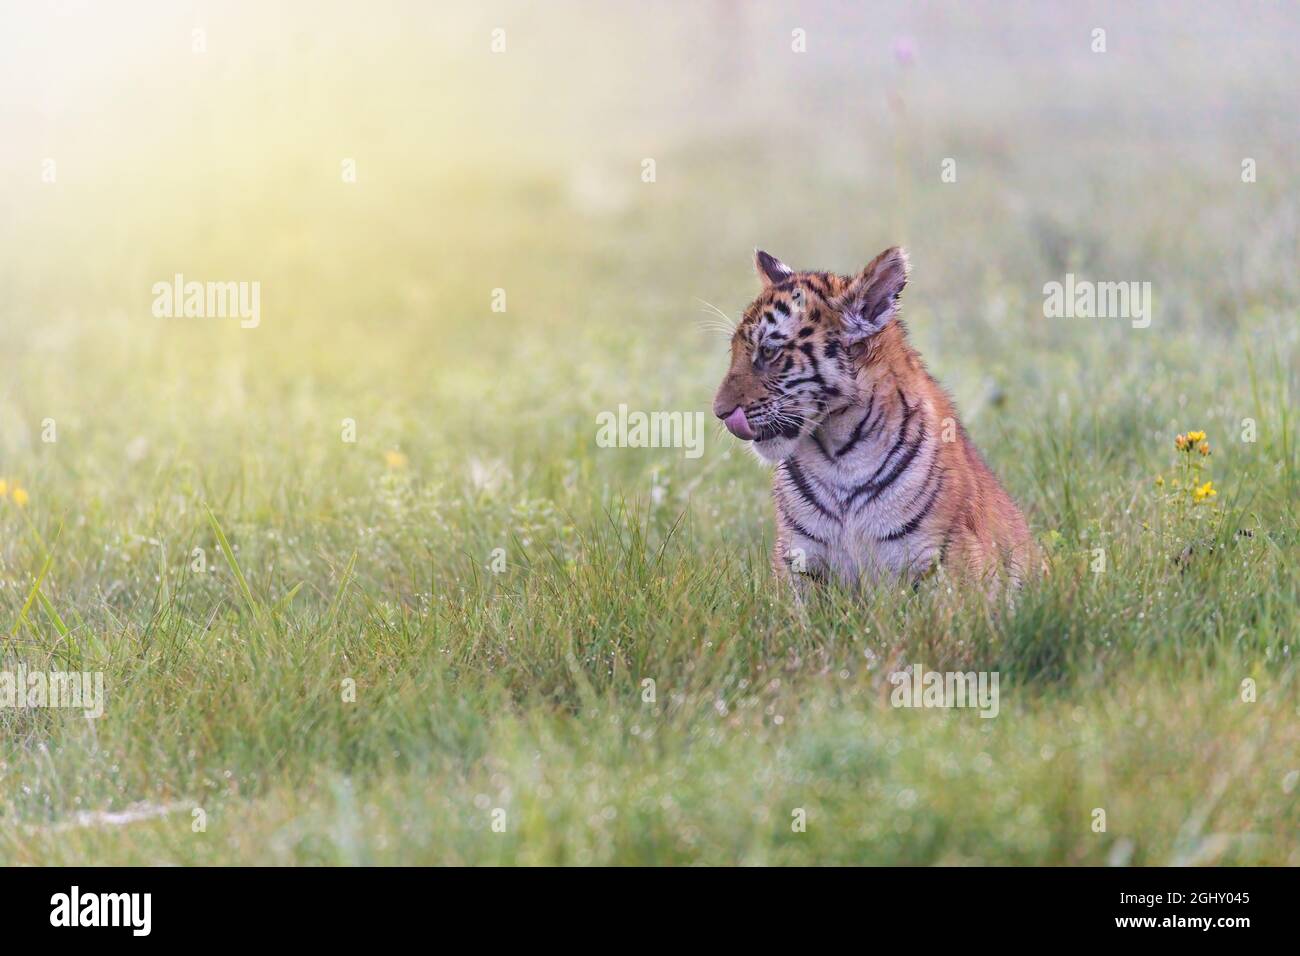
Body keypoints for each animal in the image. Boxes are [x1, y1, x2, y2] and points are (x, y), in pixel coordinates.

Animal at [711, 246, 1033, 592]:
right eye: (733, 350)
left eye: (769, 351)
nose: (719, 412)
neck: (839, 456)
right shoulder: (799, 562)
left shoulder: (945, 558)